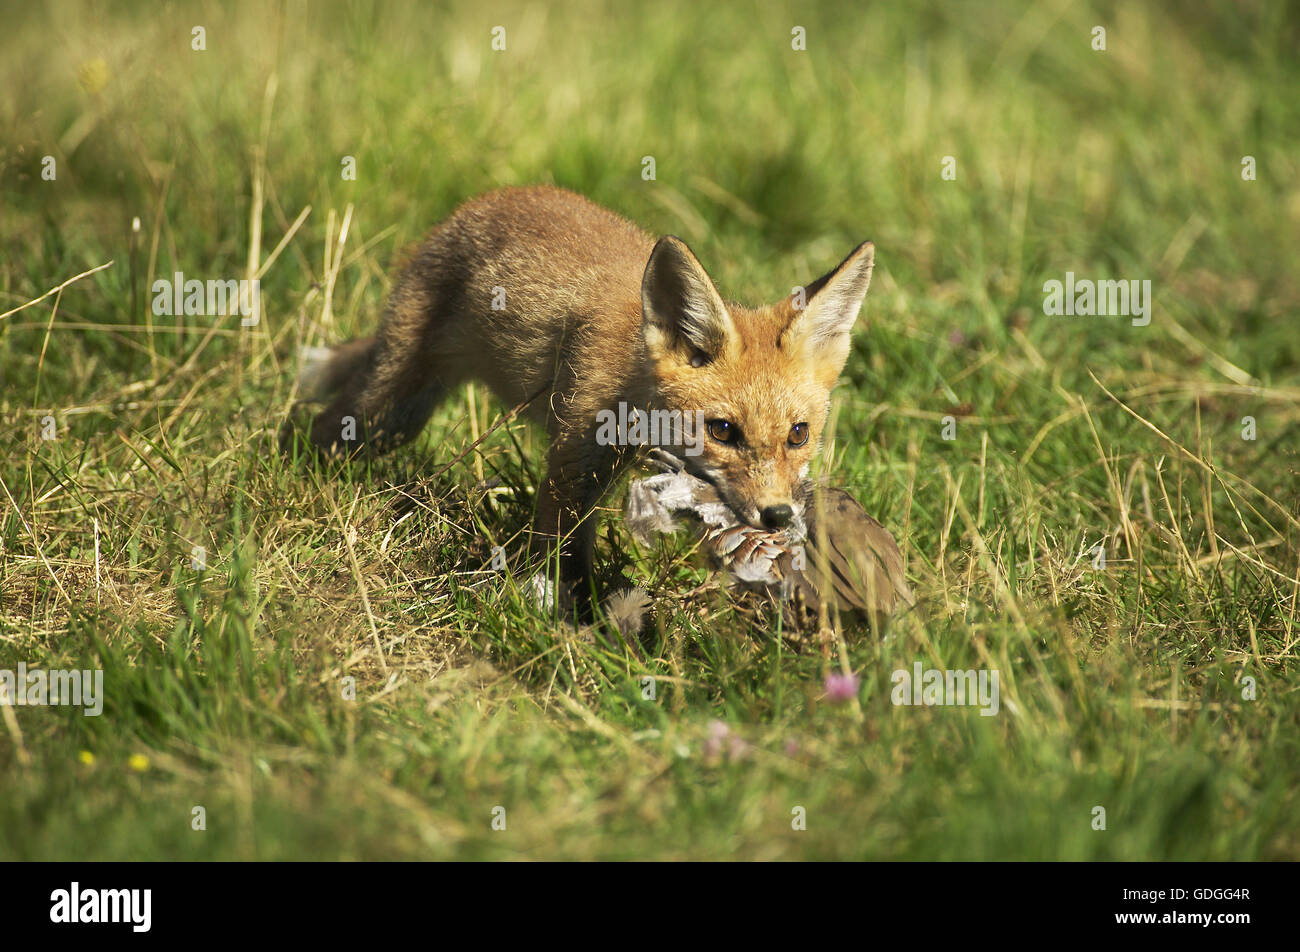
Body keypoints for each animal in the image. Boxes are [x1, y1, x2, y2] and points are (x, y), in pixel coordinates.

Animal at [294, 185, 874, 604]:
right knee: (324, 427)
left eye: (798, 435)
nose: (777, 516)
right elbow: (565, 557)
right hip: (390, 408)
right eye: (723, 431)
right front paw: (569, 624)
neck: (632, 387)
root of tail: (487, 200)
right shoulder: (572, 463)